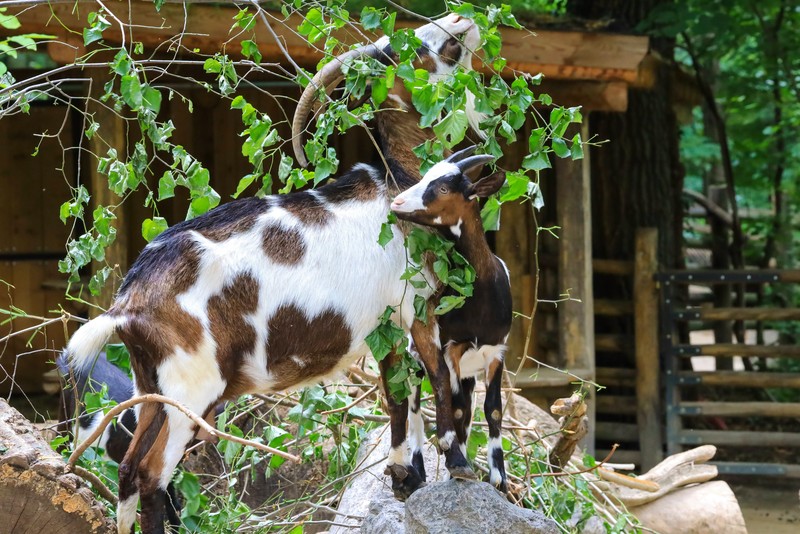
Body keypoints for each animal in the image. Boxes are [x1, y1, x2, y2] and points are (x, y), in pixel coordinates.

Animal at [66, 14, 484, 533]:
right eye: (406, 50)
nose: (460, 21)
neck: (400, 185)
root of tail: (127, 305)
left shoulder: (384, 327)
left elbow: (398, 396)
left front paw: (408, 480)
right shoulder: (415, 306)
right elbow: (438, 380)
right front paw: (459, 466)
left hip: (152, 390)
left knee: (128, 469)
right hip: (191, 390)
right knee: (149, 474)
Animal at [391, 152, 512, 493]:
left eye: (444, 188)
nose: (397, 201)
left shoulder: (496, 350)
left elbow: (492, 409)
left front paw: (499, 480)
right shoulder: (450, 348)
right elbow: (453, 407)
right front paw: (455, 469)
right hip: (415, 361)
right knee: (417, 411)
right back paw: (416, 472)